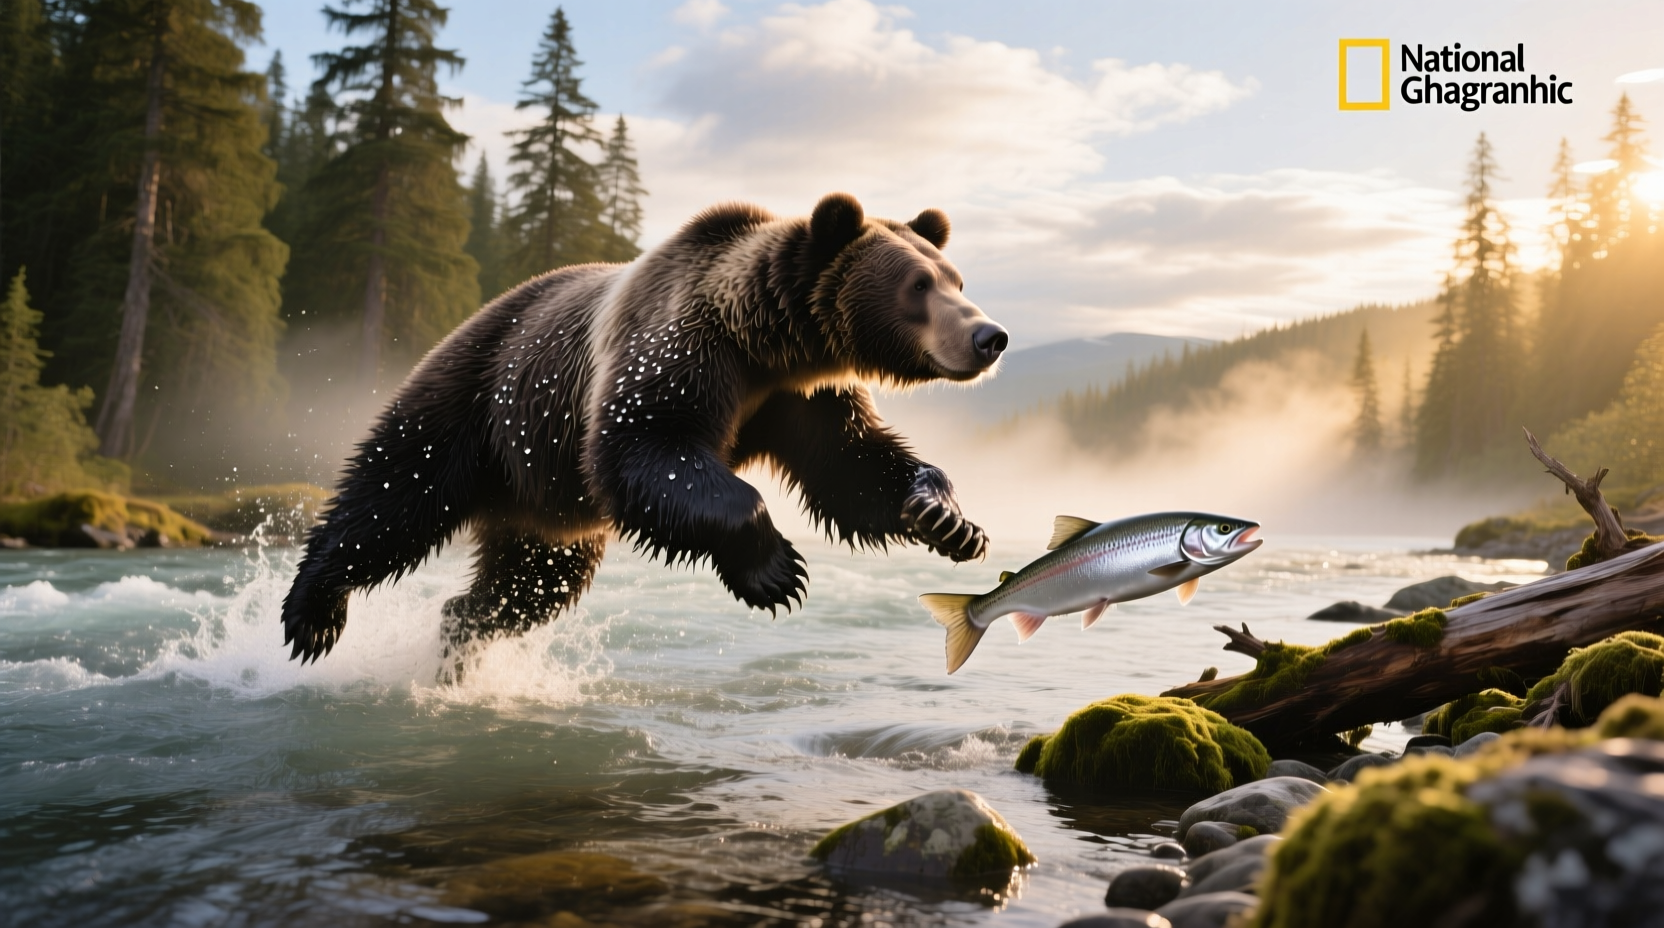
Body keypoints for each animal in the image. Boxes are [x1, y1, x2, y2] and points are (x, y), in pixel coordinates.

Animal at [280, 193, 1008, 663]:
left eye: (956, 278)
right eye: (918, 285)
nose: (989, 335)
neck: (770, 344)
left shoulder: (804, 397)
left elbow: (852, 466)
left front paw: (949, 520)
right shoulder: (681, 349)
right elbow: (645, 446)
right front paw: (774, 570)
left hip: (544, 504)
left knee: (528, 584)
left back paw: (462, 634)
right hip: (479, 401)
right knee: (393, 497)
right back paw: (312, 616)